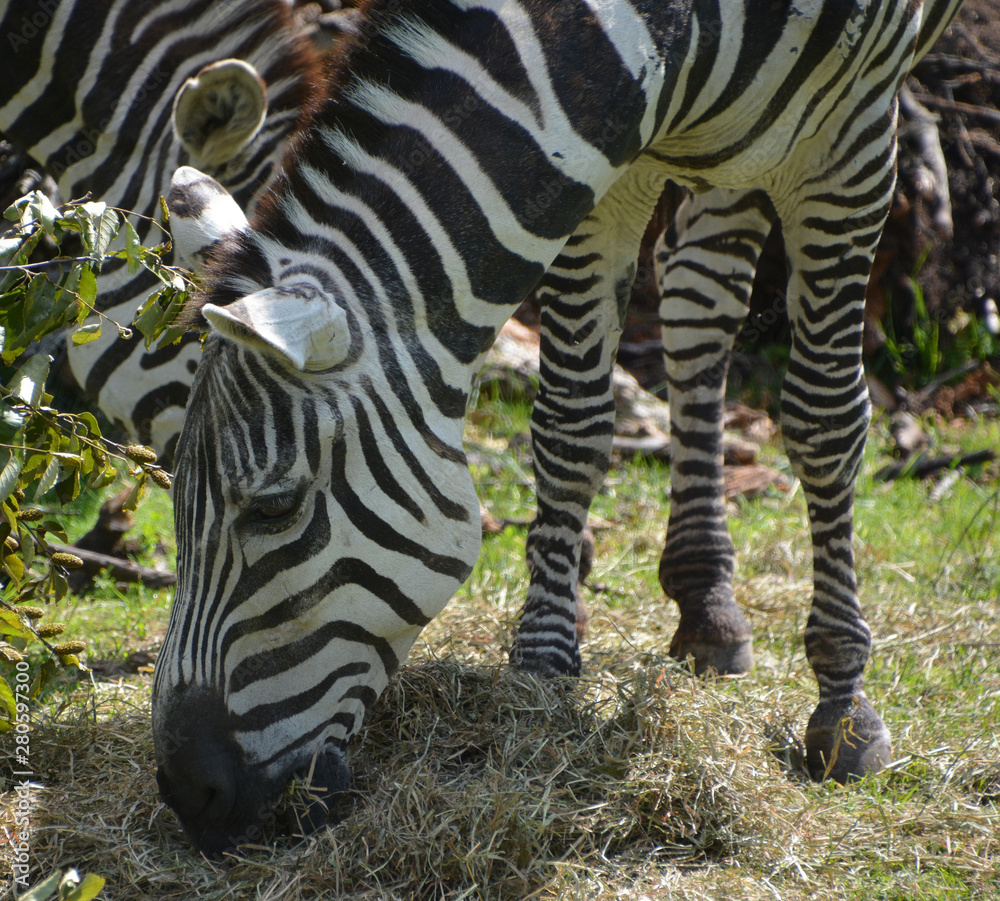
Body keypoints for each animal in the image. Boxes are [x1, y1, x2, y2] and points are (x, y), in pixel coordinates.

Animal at [152, 0, 964, 854]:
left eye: (275, 508)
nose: (185, 790)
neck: (675, 27)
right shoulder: (598, 162)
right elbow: (571, 419)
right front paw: (543, 659)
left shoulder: (853, 141)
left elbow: (824, 416)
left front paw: (843, 703)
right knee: (697, 295)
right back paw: (693, 599)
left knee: (708, 297)